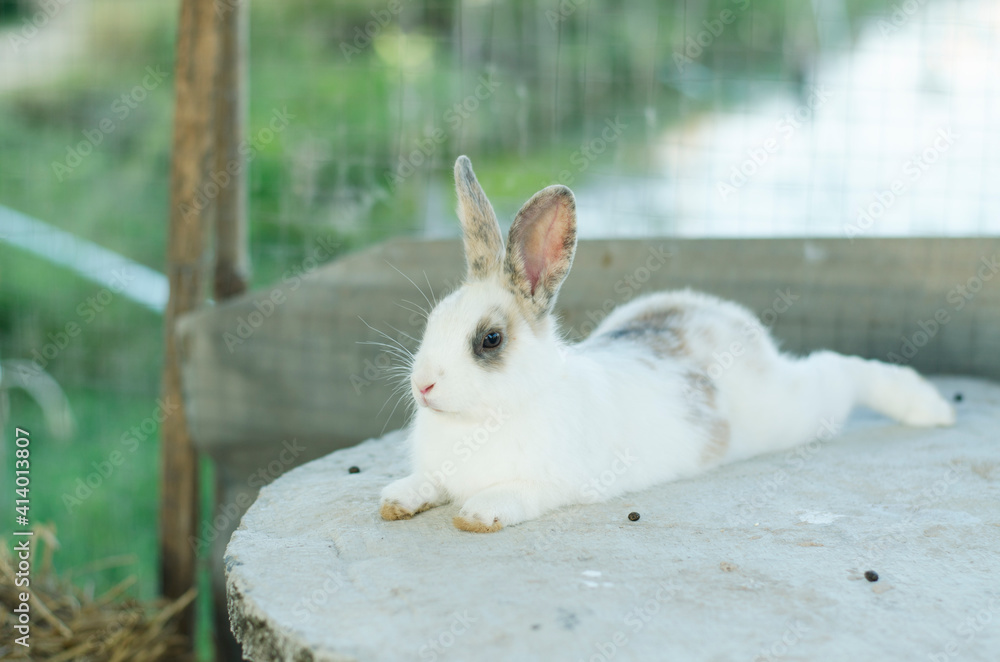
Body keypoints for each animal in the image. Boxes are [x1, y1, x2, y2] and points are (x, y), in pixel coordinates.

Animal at [378, 155, 956, 533]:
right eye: (433, 320)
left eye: (490, 339)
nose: (422, 385)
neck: (480, 421)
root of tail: (733, 321)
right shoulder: (440, 470)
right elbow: (426, 482)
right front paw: (395, 499)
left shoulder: (555, 482)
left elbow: (516, 495)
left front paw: (478, 514)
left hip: (799, 410)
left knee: (837, 369)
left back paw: (927, 407)